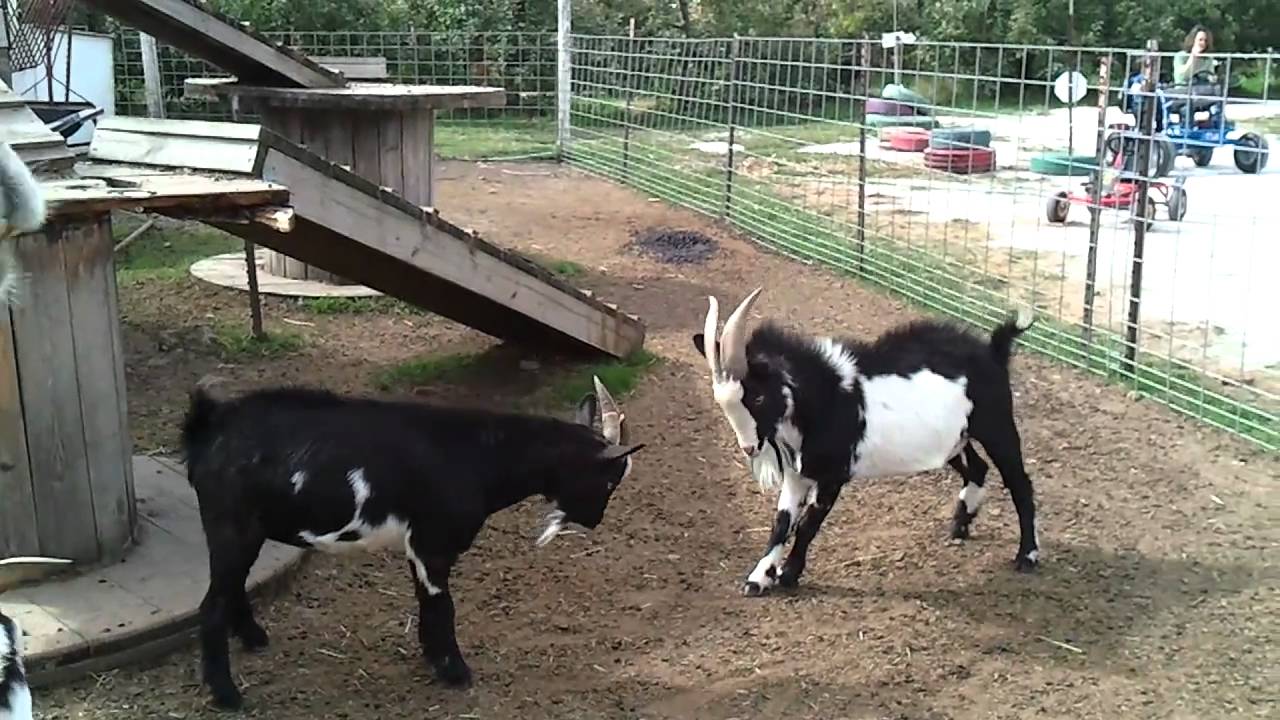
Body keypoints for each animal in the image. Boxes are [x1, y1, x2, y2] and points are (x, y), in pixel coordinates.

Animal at [179, 378, 645, 710]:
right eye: (608, 480)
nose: (595, 520)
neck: (481, 457)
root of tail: (208, 426)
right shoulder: (434, 542)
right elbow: (442, 606)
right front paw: (455, 670)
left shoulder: (418, 545)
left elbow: (425, 601)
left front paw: (434, 660)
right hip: (232, 525)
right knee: (212, 604)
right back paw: (227, 695)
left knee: (232, 586)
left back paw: (253, 638)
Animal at [693, 288, 1040, 597]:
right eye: (723, 402)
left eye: (758, 397)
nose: (749, 448)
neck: (825, 397)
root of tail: (994, 350)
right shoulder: (797, 473)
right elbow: (781, 523)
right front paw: (758, 579)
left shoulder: (833, 476)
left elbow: (807, 524)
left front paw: (788, 575)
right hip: (955, 438)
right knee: (978, 468)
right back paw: (961, 525)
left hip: (997, 426)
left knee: (1020, 483)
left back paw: (1027, 555)